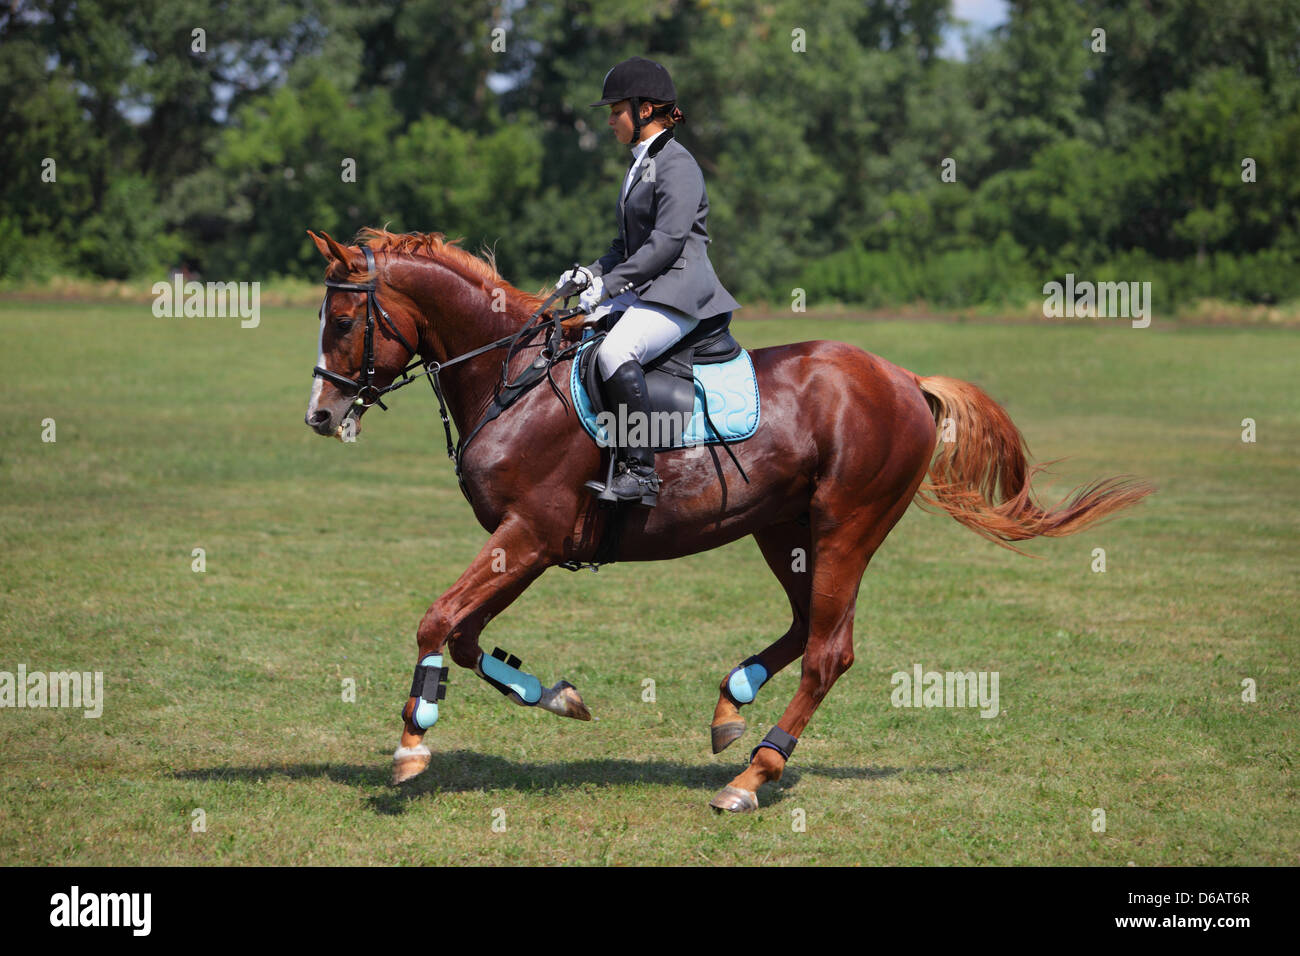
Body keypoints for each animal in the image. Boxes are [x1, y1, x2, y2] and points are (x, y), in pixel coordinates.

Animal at [302, 227, 1153, 813]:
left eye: (343, 323)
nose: (320, 416)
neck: (511, 378)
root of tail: (906, 379)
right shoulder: (528, 546)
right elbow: (466, 634)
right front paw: (557, 696)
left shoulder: (530, 534)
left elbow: (436, 618)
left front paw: (412, 741)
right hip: (783, 529)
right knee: (808, 627)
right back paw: (731, 703)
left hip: (847, 524)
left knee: (829, 652)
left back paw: (753, 775)